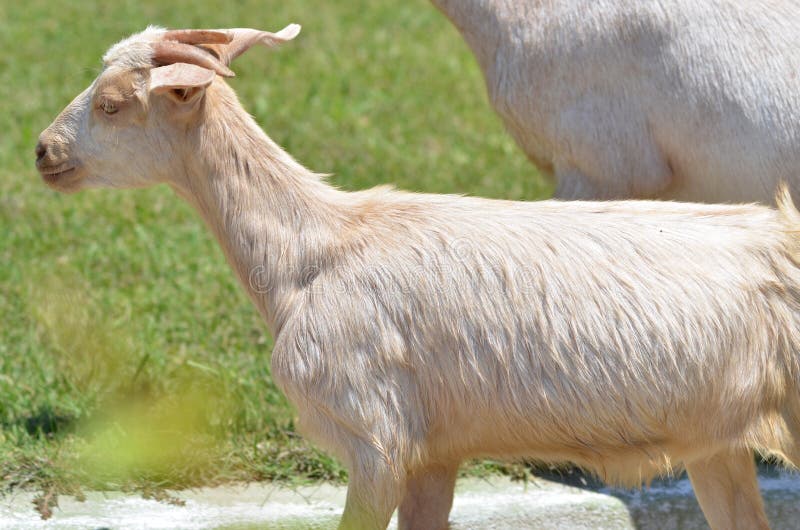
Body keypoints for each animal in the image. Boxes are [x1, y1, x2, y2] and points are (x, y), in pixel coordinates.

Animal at [37, 25, 800, 530]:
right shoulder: (435, 453)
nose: (43, 152)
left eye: (111, 104)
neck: (314, 250)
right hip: (716, 437)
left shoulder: (376, 436)